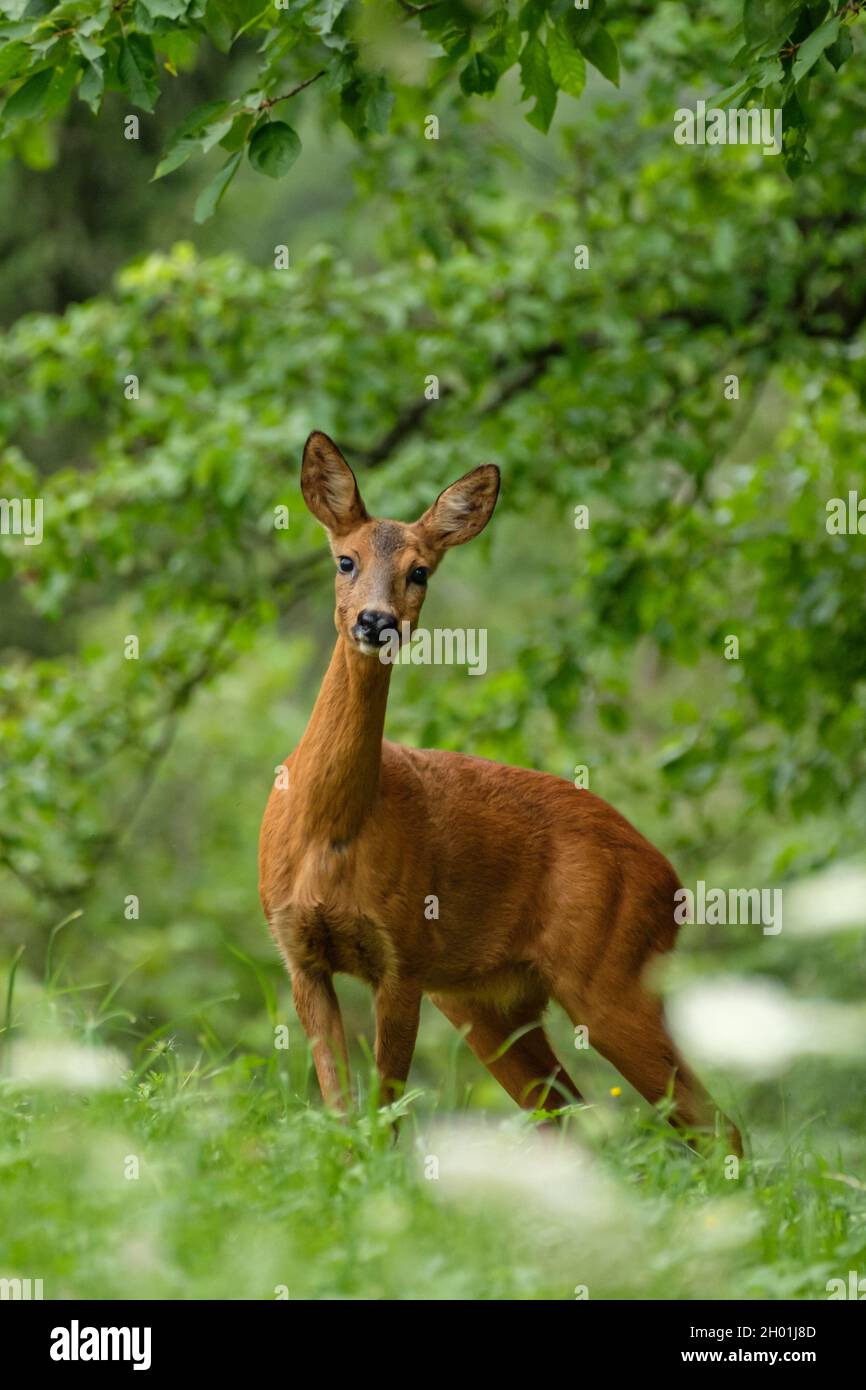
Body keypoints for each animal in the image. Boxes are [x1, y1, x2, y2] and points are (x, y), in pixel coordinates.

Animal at [258, 431, 742, 1154]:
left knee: (715, 1125)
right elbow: (343, 1111)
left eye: (421, 571)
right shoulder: (300, 953)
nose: (376, 621)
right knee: (572, 1118)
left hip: (611, 975)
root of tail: (674, 885)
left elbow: (385, 1115)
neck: (330, 829)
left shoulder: (405, 956)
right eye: (345, 559)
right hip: (490, 1002)